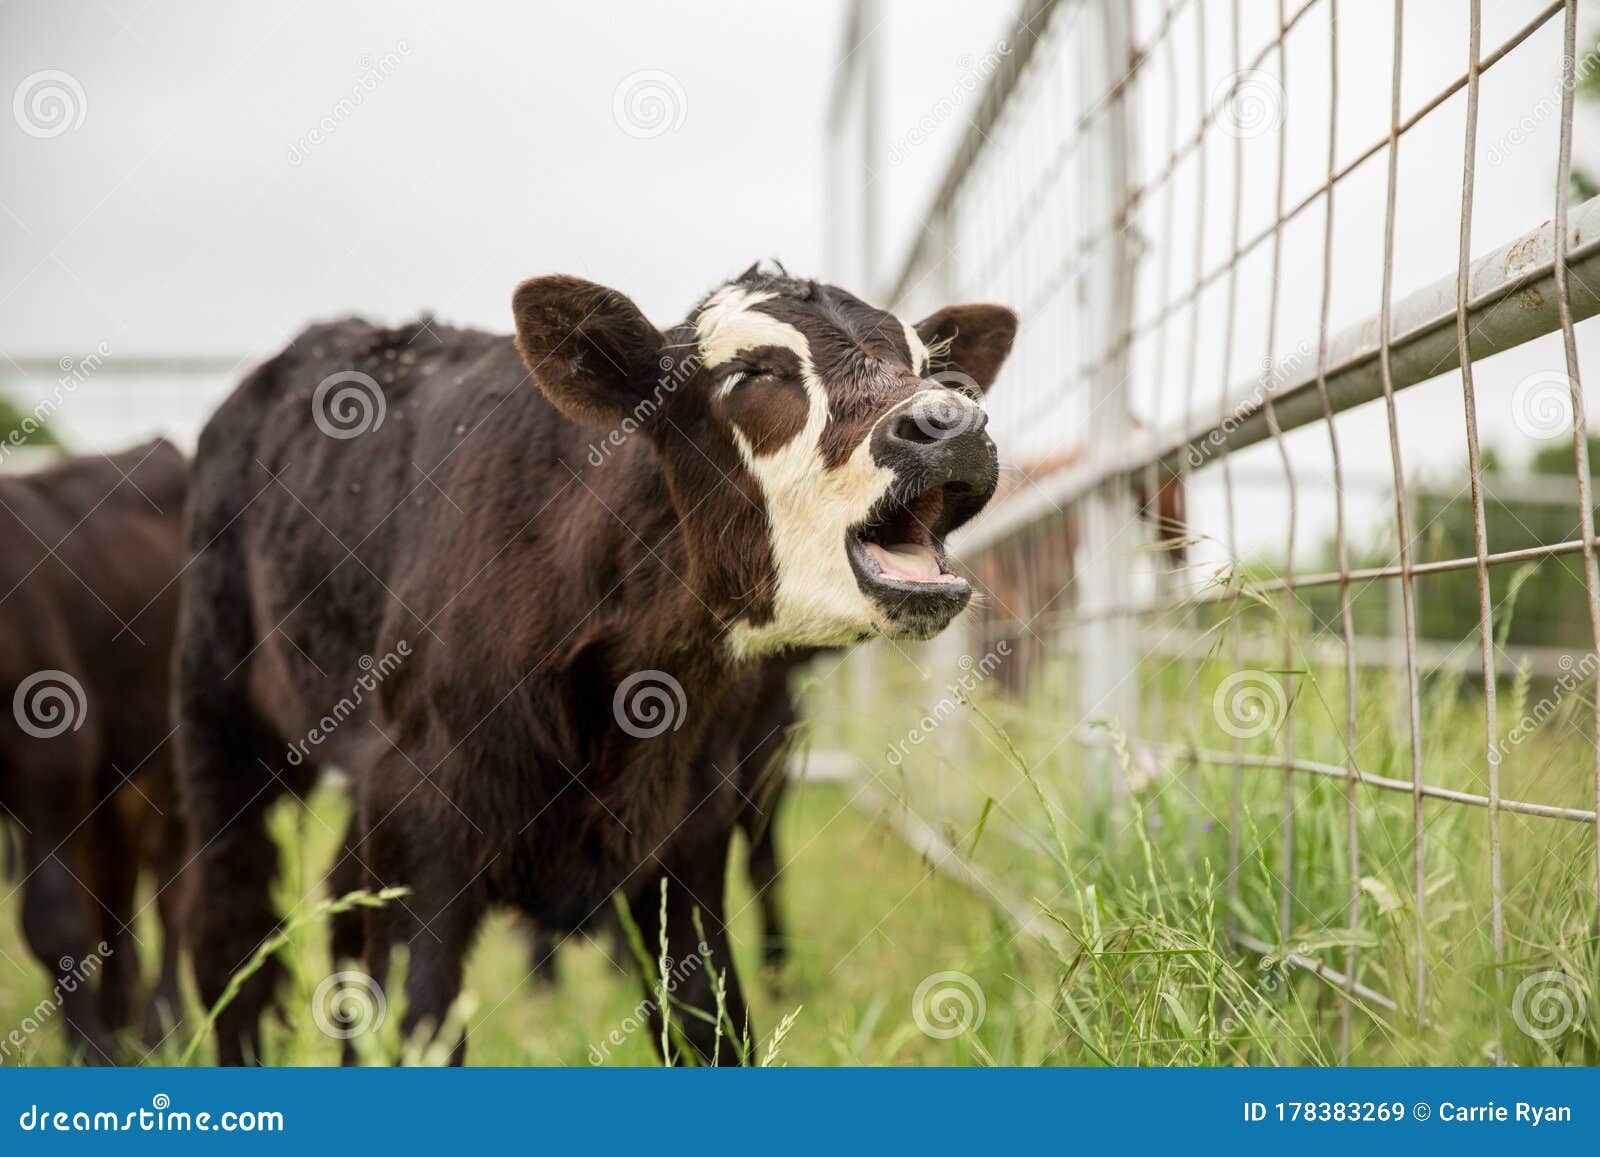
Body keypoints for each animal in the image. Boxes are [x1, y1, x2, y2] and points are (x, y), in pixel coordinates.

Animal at [0, 439, 189, 1062]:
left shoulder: (51, 751)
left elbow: (54, 916)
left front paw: (89, 1050)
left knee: (173, 889)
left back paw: (162, 1025)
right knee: (113, 883)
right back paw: (121, 1012)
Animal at [176, 265, 1014, 1065]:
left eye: (928, 366)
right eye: (751, 371)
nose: (952, 423)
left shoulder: (690, 844)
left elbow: (711, 1028)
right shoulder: (422, 834)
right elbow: (414, 1030)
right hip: (222, 726)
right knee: (228, 925)